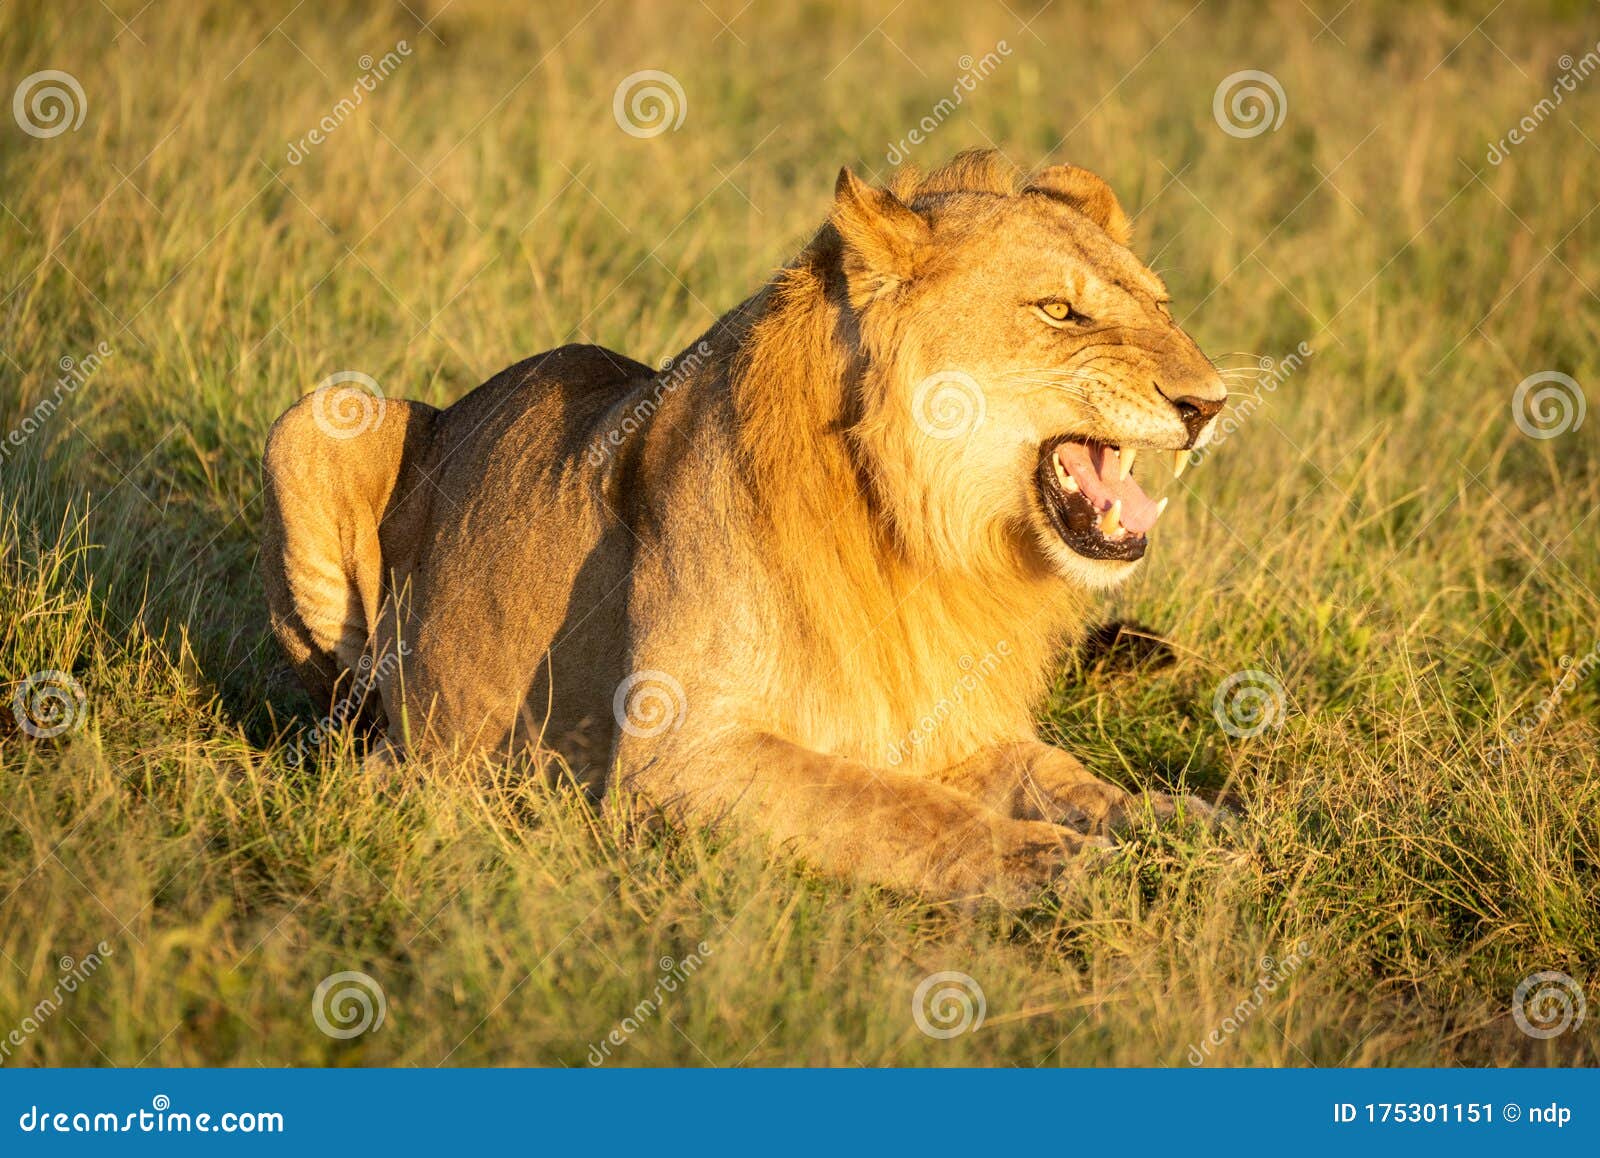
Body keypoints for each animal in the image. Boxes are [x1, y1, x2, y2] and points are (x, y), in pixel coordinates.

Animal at [260, 149, 1228, 904]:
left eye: (1160, 306)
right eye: (1059, 312)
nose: (1210, 403)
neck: (926, 535)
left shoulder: (941, 719)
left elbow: (1055, 773)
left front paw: (1180, 823)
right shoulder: (678, 760)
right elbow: (899, 808)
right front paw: (1068, 866)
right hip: (318, 420)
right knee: (350, 722)